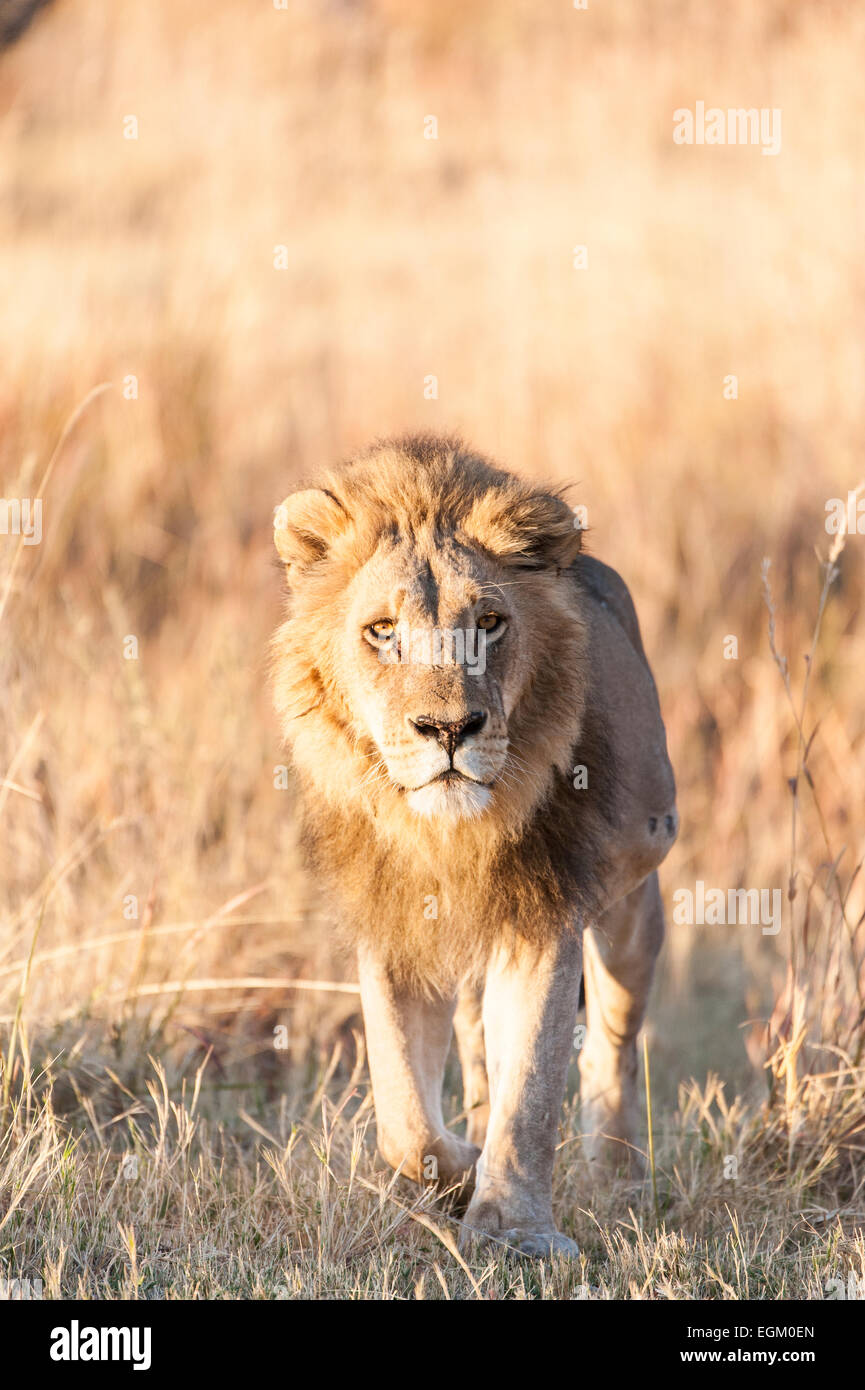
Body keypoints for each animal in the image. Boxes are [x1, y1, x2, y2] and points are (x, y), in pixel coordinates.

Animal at [271, 434, 677, 1258]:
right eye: (382, 631)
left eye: (489, 622)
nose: (450, 729)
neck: (446, 835)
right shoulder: (391, 923)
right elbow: (404, 1115)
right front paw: (457, 1173)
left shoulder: (541, 920)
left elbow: (533, 1088)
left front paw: (515, 1230)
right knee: (475, 1047)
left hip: (634, 899)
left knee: (613, 1040)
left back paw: (618, 1174)